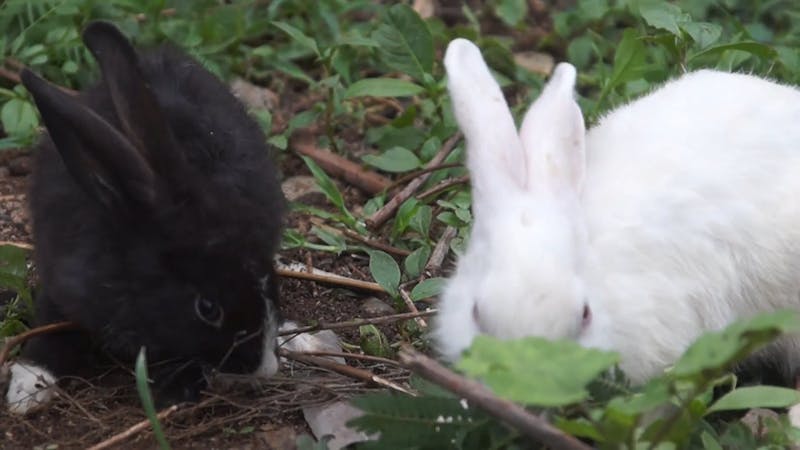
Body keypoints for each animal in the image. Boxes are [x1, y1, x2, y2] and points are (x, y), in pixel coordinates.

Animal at [5, 21, 286, 414]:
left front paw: (175, 390)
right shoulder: (61, 285)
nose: (266, 367)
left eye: (270, 277)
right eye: (207, 308)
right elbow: (52, 329)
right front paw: (26, 390)